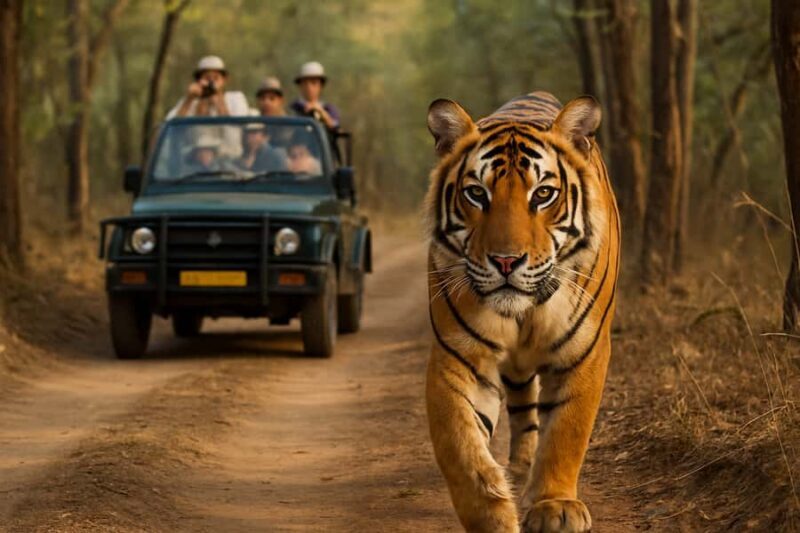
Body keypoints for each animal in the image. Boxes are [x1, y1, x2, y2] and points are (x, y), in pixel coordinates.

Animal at [424, 91, 620, 533]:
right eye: (476, 194)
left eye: (543, 194)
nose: (506, 261)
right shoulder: (457, 356)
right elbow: (460, 445)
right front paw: (494, 514)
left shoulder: (585, 350)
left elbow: (566, 431)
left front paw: (555, 507)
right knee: (521, 407)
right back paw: (517, 469)